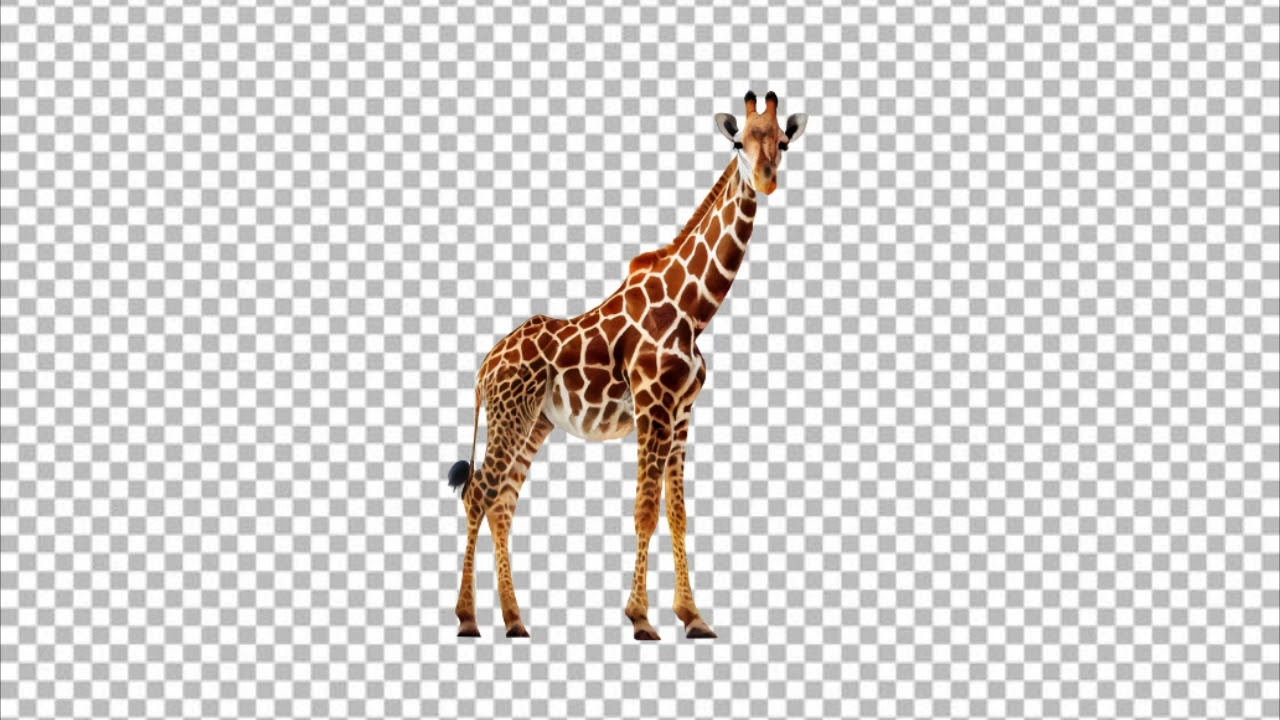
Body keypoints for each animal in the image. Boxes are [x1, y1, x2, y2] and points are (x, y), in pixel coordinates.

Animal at [448, 91, 808, 640]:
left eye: (783, 142)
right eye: (737, 142)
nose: (767, 180)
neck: (693, 309)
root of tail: (484, 366)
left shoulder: (681, 412)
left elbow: (677, 513)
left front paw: (693, 617)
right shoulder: (651, 404)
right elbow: (645, 512)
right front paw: (641, 619)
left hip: (536, 422)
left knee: (503, 503)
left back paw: (515, 621)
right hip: (510, 416)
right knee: (478, 494)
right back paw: (468, 619)